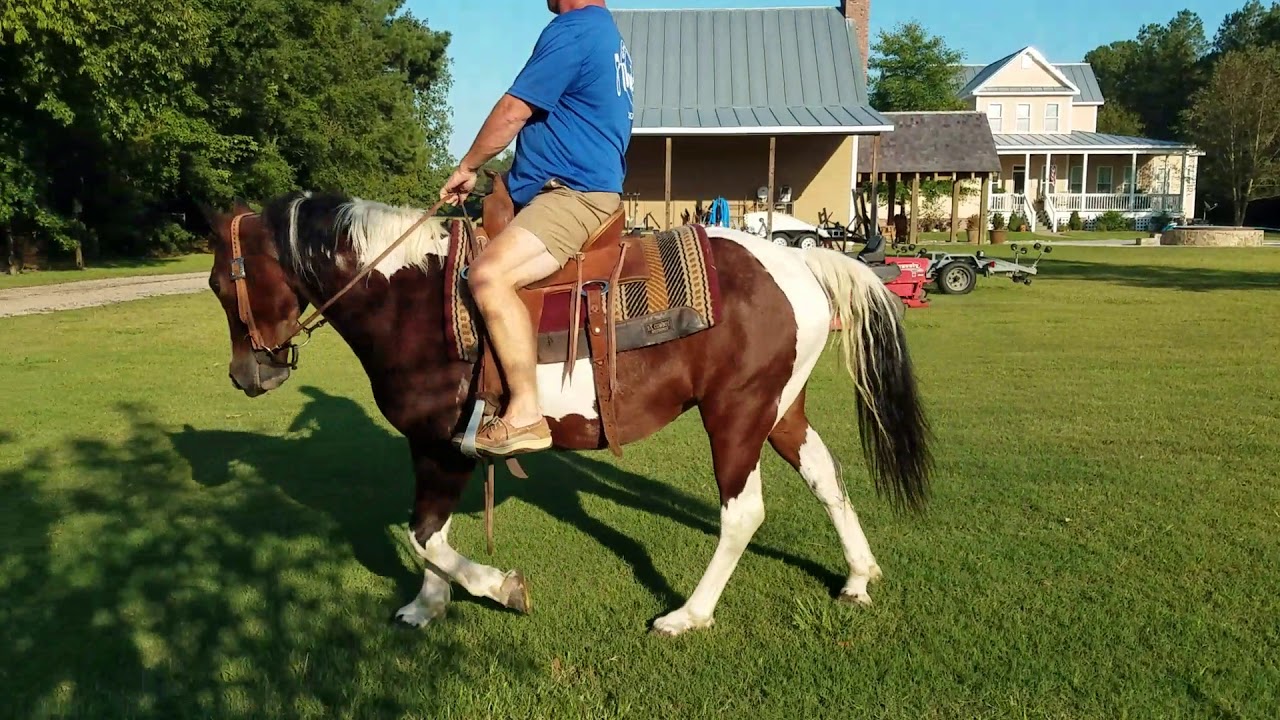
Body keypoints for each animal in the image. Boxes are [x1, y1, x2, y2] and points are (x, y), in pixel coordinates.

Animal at [199, 186, 932, 637]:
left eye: (218, 283)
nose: (246, 375)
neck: (411, 298)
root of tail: (799, 261)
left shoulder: (443, 446)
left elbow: (424, 535)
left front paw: (498, 588)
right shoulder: (434, 449)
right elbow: (428, 533)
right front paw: (427, 606)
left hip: (736, 411)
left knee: (743, 512)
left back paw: (688, 614)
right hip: (780, 408)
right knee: (827, 478)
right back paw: (858, 576)